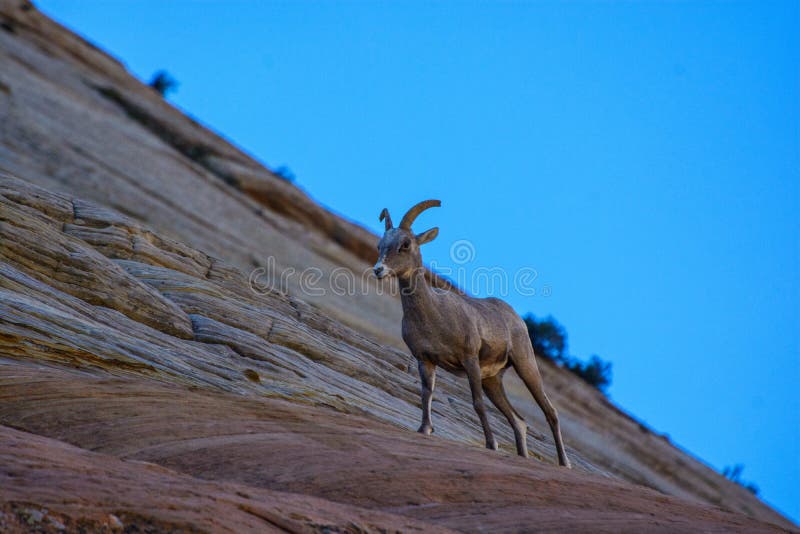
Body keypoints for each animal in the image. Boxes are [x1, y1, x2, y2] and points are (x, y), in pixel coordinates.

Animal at [374, 200, 571, 467]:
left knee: (550, 412)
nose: (378, 270)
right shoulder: (425, 360)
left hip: (525, 365)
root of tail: (515, 317)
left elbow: (476, 404)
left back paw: (564, 463)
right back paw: (523, 456)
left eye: (405, 245)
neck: (434, 316)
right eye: (380, 245)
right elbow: (426, 393)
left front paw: (492, 444)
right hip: (493, 380)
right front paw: (424, 430)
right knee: (519, 421)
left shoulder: (469, 360)